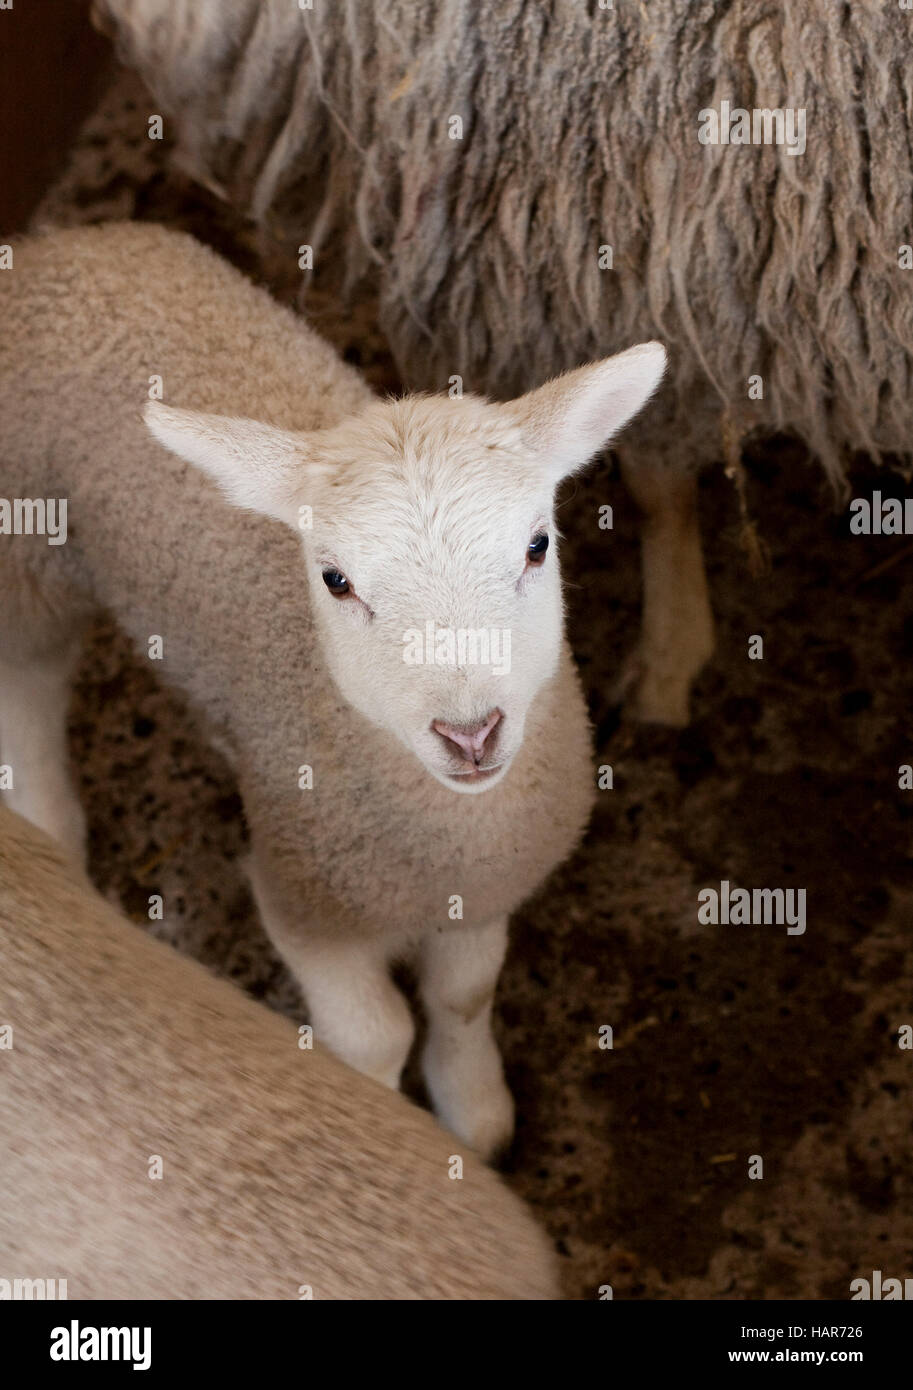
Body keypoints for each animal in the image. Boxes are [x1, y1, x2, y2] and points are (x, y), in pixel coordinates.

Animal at [0, 221, 666, 1159]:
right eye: (336, 580)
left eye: (538, 544)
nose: (471, 733)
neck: (440, 831)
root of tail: (64, 243)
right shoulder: (304, 898)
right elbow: (373, 1036)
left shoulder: (481, 886)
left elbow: (461, 997)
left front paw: (477, 1120)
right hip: (28, 561)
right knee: (26, 690)